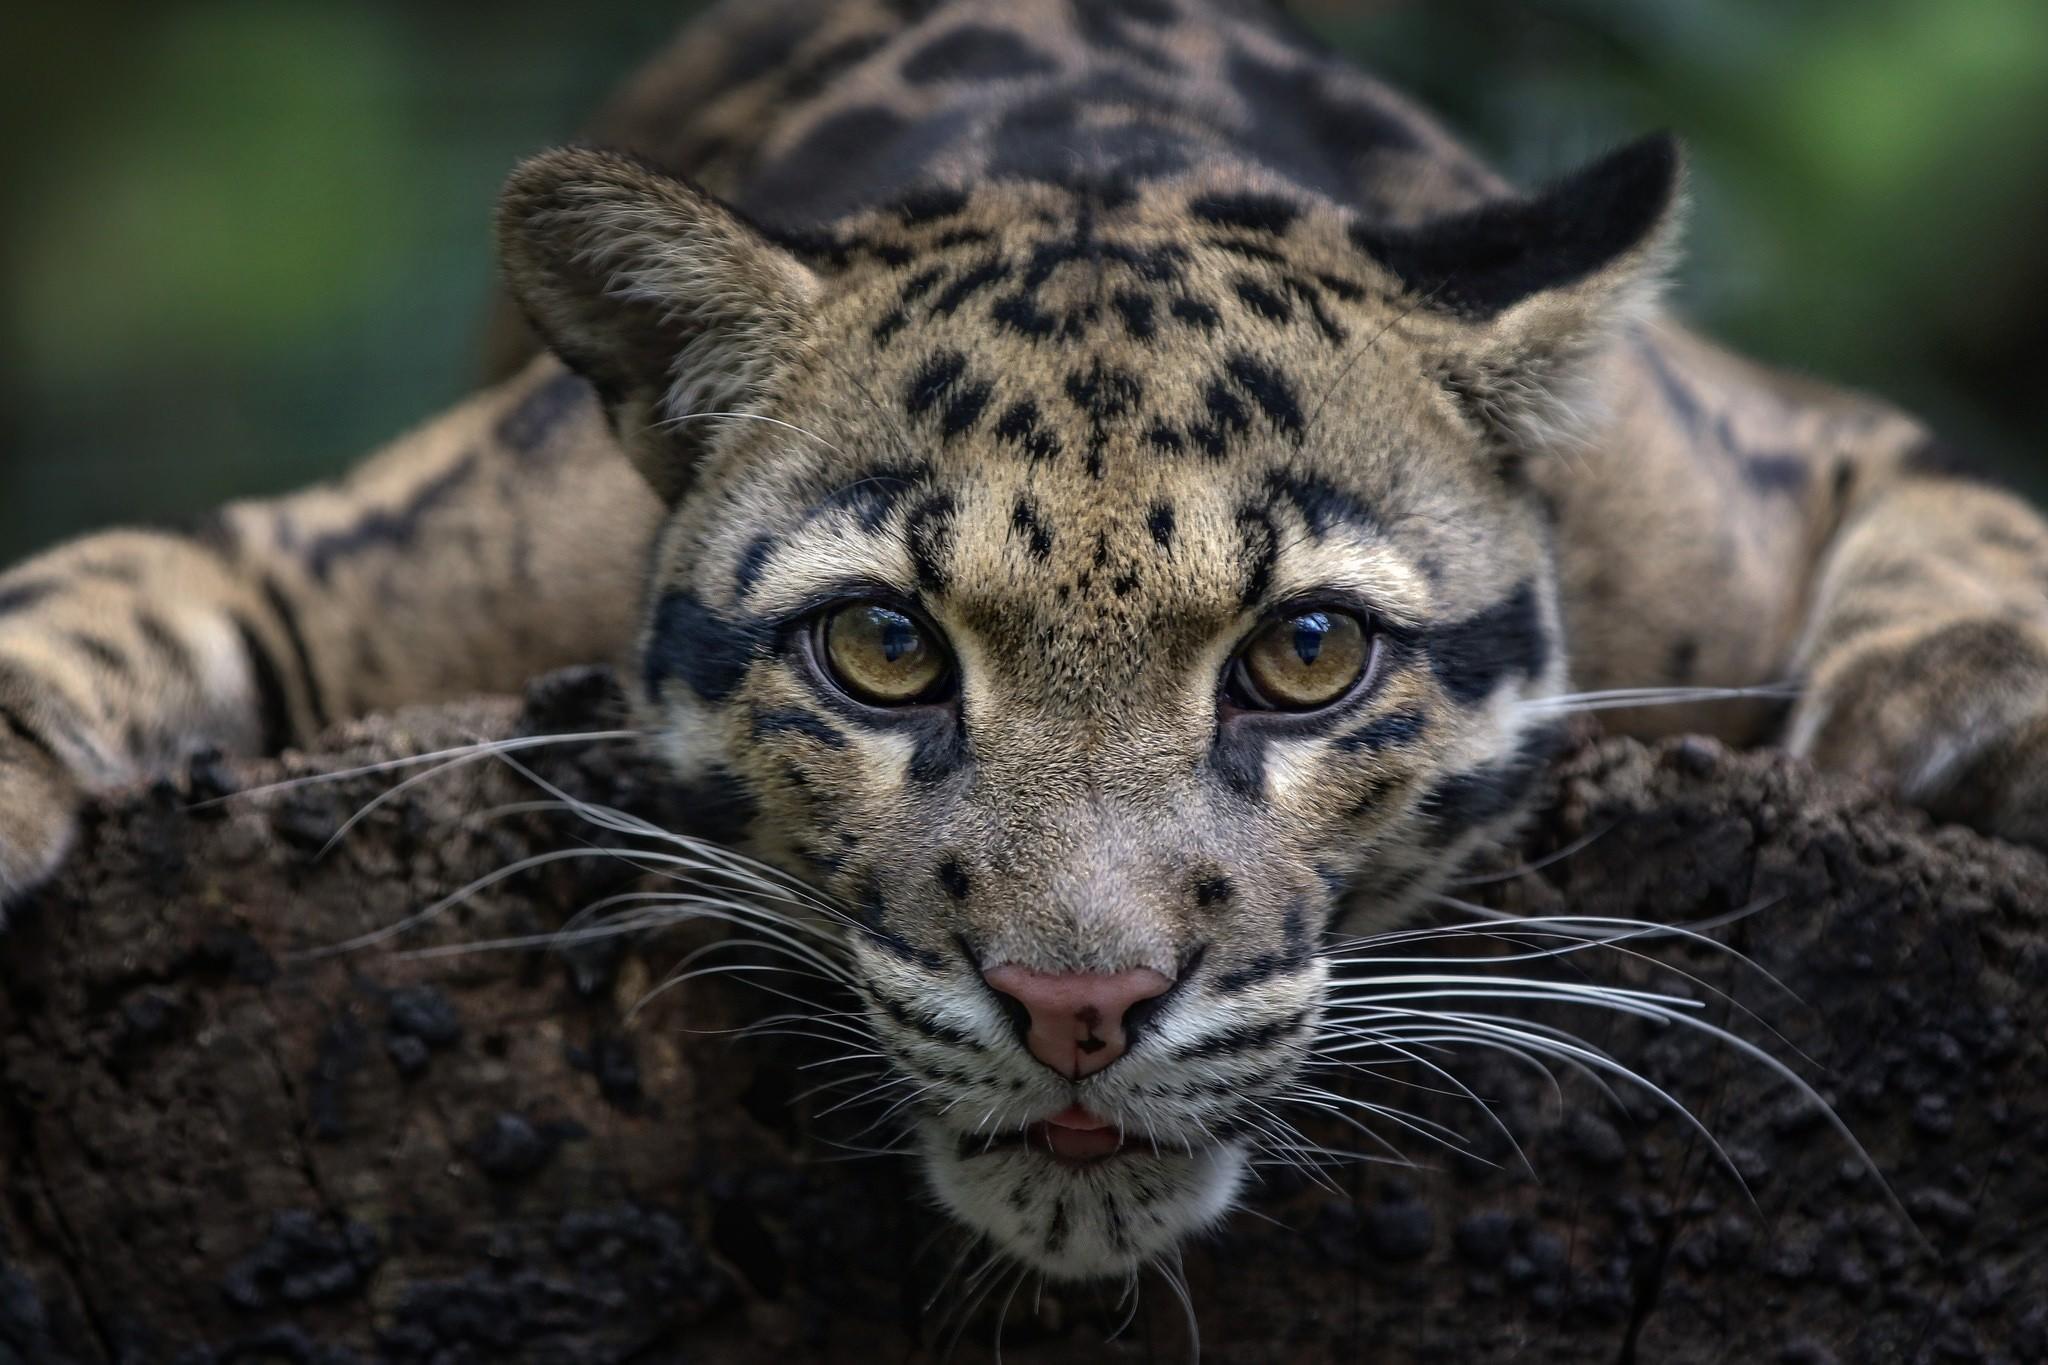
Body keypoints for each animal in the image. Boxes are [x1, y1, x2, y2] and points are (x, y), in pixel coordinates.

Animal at [4, 0, 2048, 1285]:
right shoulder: (330, 545)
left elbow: (1980, 532)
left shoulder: (1781, 448)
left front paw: (1965, 729)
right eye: (884, 652)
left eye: (1308, 652)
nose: (1078, 1007)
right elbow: (83, 589)